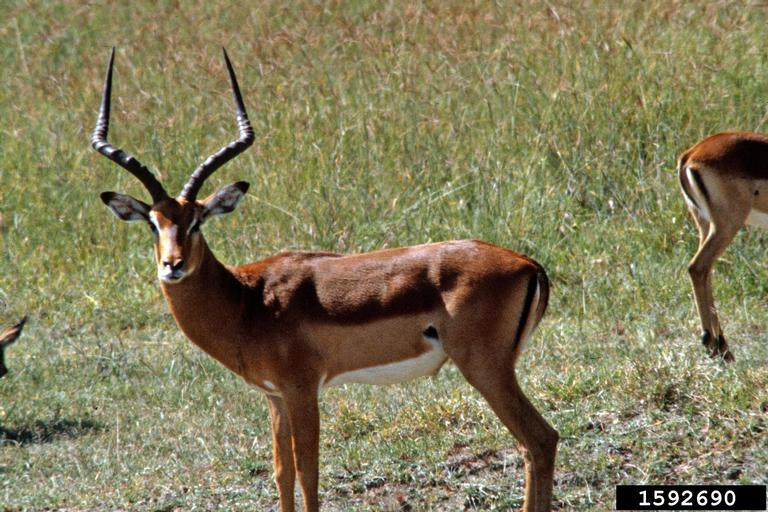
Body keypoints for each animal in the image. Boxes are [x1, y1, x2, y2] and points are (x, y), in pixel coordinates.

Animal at [92, 48, 558, 512]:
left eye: (197, 221)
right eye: (153, 223)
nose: (172, 265)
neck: (247, 301)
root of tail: (527, 263)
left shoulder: (302, 390)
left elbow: (308, 474)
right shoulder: (275, 397)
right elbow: (282, 474)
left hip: (484, 368)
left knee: (540, 440)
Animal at [678, 131, 768, 362]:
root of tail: (690, 155)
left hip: (705, 224)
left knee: (705, 271)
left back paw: (723, 349)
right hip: (726, 225)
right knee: (697, 267)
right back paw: (712, 344)